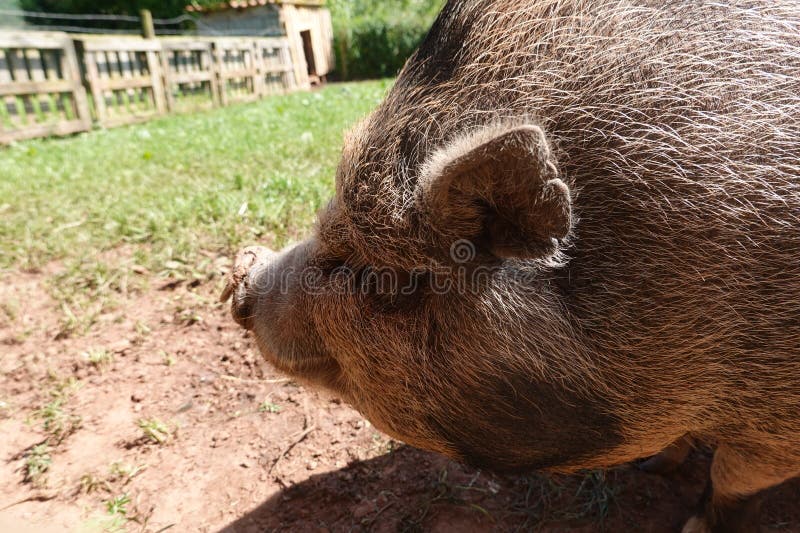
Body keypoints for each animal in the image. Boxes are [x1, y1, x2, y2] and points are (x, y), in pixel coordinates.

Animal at [221, 1, 800, 531]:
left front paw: (694, 522)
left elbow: (730, 479)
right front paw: (654, 467)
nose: (242, 275)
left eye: (372, 277)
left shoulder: (778, 426)